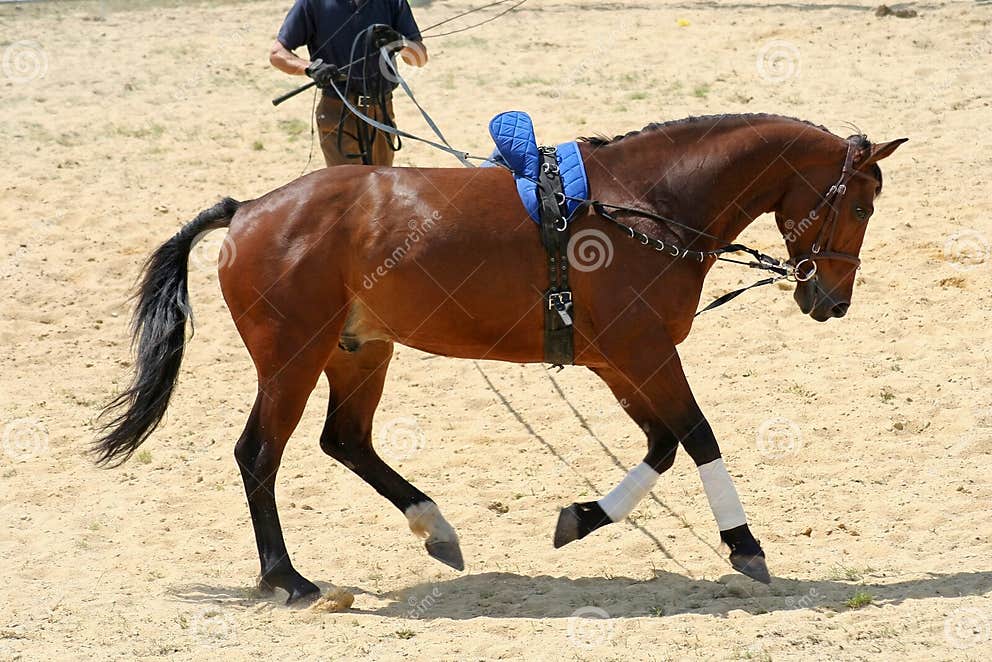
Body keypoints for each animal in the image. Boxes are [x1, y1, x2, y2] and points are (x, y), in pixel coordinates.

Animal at [95, 113, 906, 604]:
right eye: (862, 206)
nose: (831, 301)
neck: (645, 203)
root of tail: (249, 209)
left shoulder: (619, 359)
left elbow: (663, 444)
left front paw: (582, 518)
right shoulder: (643, 350)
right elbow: (698, 436)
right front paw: (745, 546)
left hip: (360, 352)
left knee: (345, 440)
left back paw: (434, 528)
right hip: (293, 358)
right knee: (260, 453)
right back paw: (288, 579)